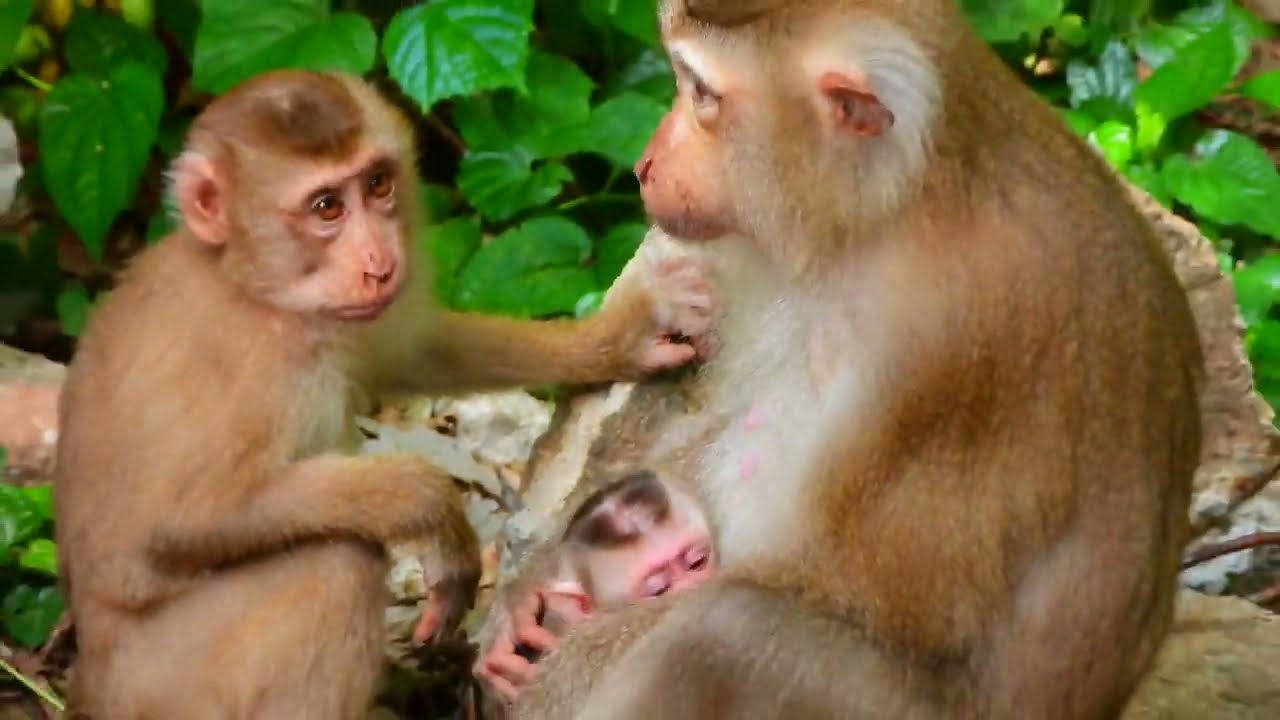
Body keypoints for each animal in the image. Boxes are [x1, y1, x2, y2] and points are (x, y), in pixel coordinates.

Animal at [51, 69, 716, 720]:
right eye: (325, 207)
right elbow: (181, 522)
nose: (379, 262)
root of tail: (86, 682)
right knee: (336, 567)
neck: (250, 287)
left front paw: (617, 336)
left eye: (377, 185)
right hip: (168, 688)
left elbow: (411, 351)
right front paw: (428, 506)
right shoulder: (250, 363)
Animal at [475, 1, 1206, 718]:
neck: (895, 211)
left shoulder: (941, 350)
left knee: (722, 632)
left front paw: (559, 664)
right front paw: (529, 590)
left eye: (702, 92)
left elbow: (850, 590)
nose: (645, 165)